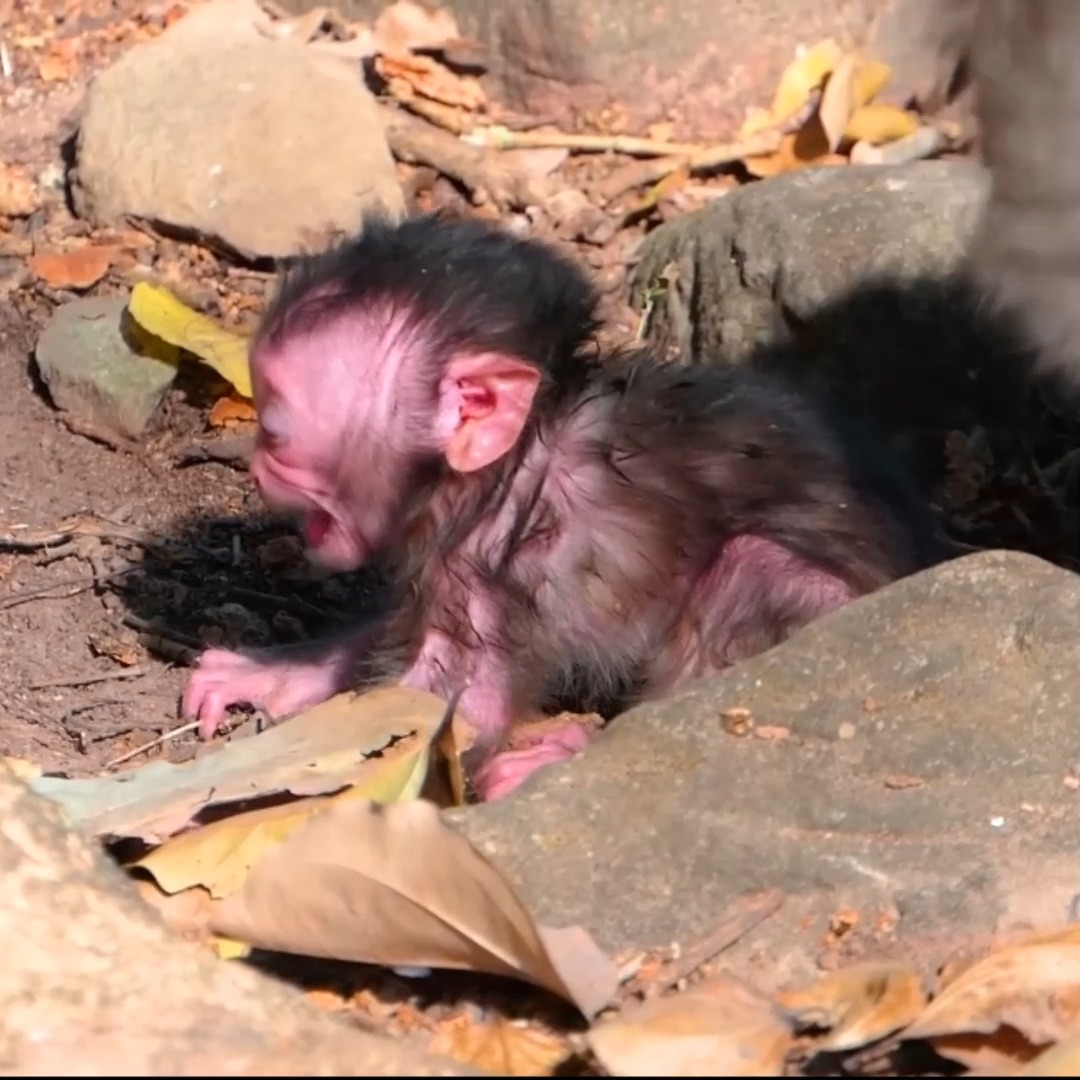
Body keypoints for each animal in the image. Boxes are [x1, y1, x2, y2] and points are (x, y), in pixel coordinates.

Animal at [182, 213, 946, 801]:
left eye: (276, 432)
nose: (256, 462)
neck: (512, 457)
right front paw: (279, 675)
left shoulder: (483, 560)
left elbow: (456, 713)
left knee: (751, 568)